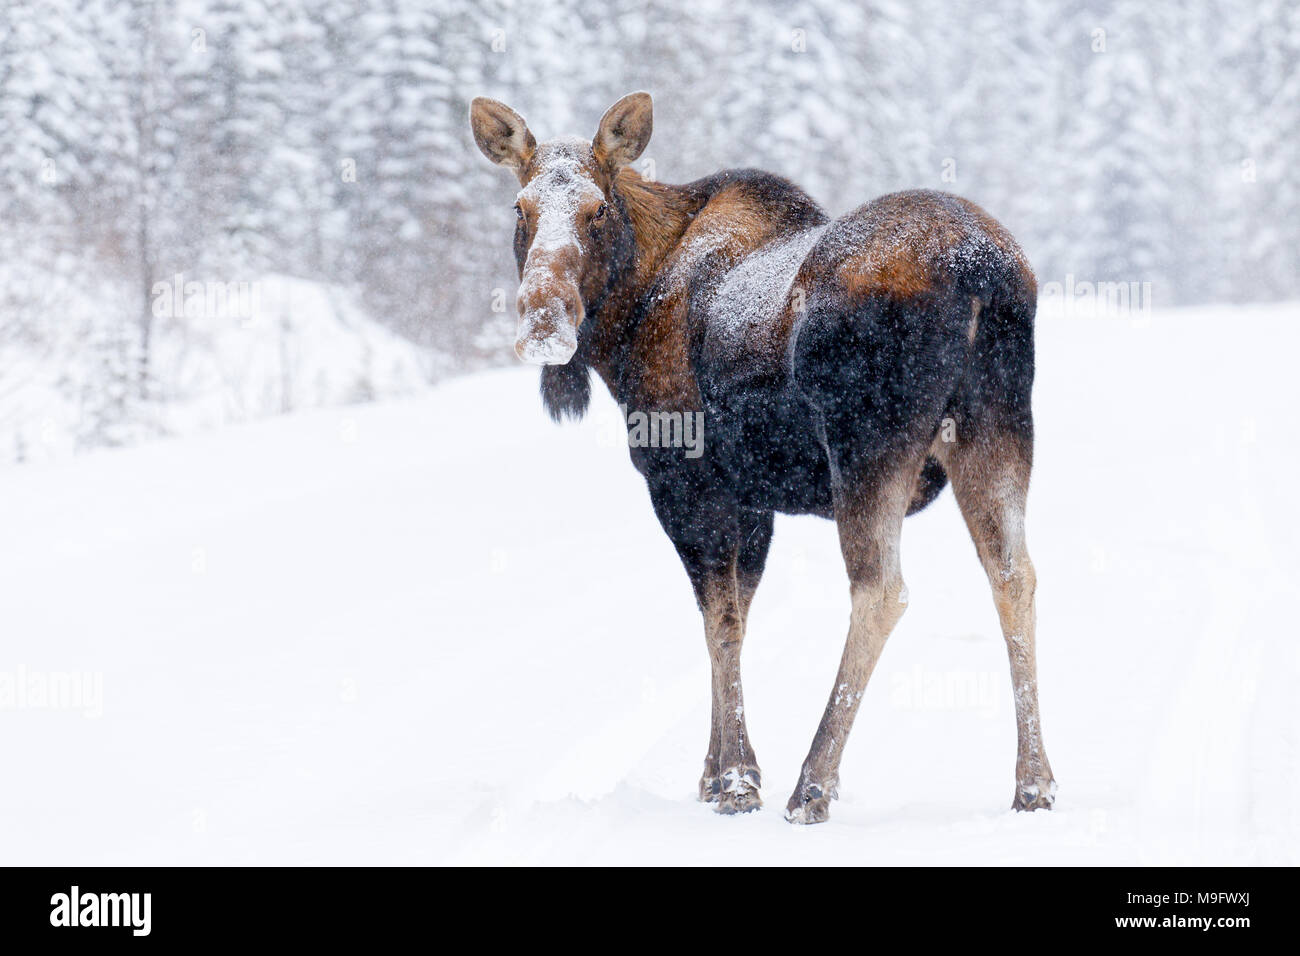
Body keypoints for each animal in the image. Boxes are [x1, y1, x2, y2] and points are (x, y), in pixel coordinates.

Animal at [469, 92, 1056, 823]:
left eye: (596, 209)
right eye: (519, 209)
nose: (543, 319)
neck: (625, 324)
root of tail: (982, 274)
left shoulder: (686, 482)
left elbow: (718, 619)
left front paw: (736, 779)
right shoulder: (753, 499)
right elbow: (739, 615)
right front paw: (713, 770)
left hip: (867, 444)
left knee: (881, 590)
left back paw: (813, 783)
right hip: (996, 427)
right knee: (1014, 574)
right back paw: (1033, 781)